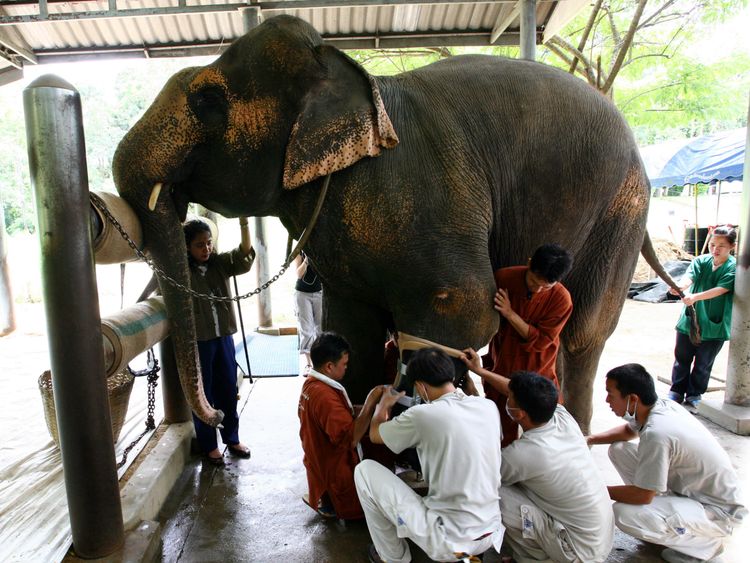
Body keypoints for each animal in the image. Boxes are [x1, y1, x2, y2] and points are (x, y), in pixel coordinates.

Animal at [113, 14, 670, 433]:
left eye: (207, 100)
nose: (215, 413)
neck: (345, 72)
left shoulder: (425, 194)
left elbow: (461, 312)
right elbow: (351, 330)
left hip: (622, 210)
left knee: (582, 334)